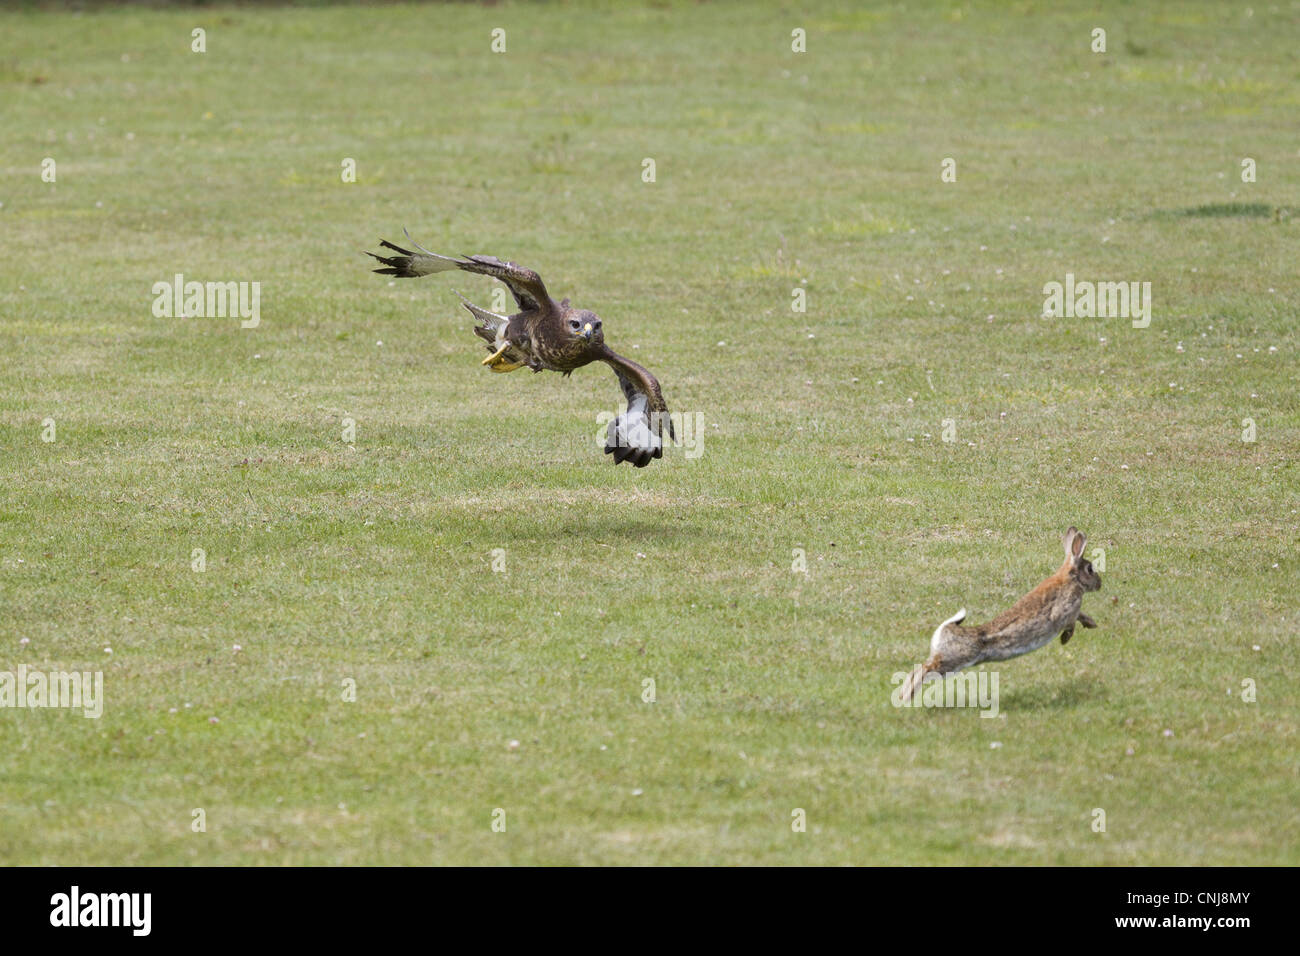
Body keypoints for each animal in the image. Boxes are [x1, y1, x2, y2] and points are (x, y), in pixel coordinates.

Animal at [900, 527, 1101, 702]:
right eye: (1090, 569)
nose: (1099, 584)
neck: (1070, 577)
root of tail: (945, 630)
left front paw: (1091, 624)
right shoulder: (1064, 609)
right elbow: (1070, 619)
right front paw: (1066, 638)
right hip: (955, 659)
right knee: (924, 668)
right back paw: (907, 696)